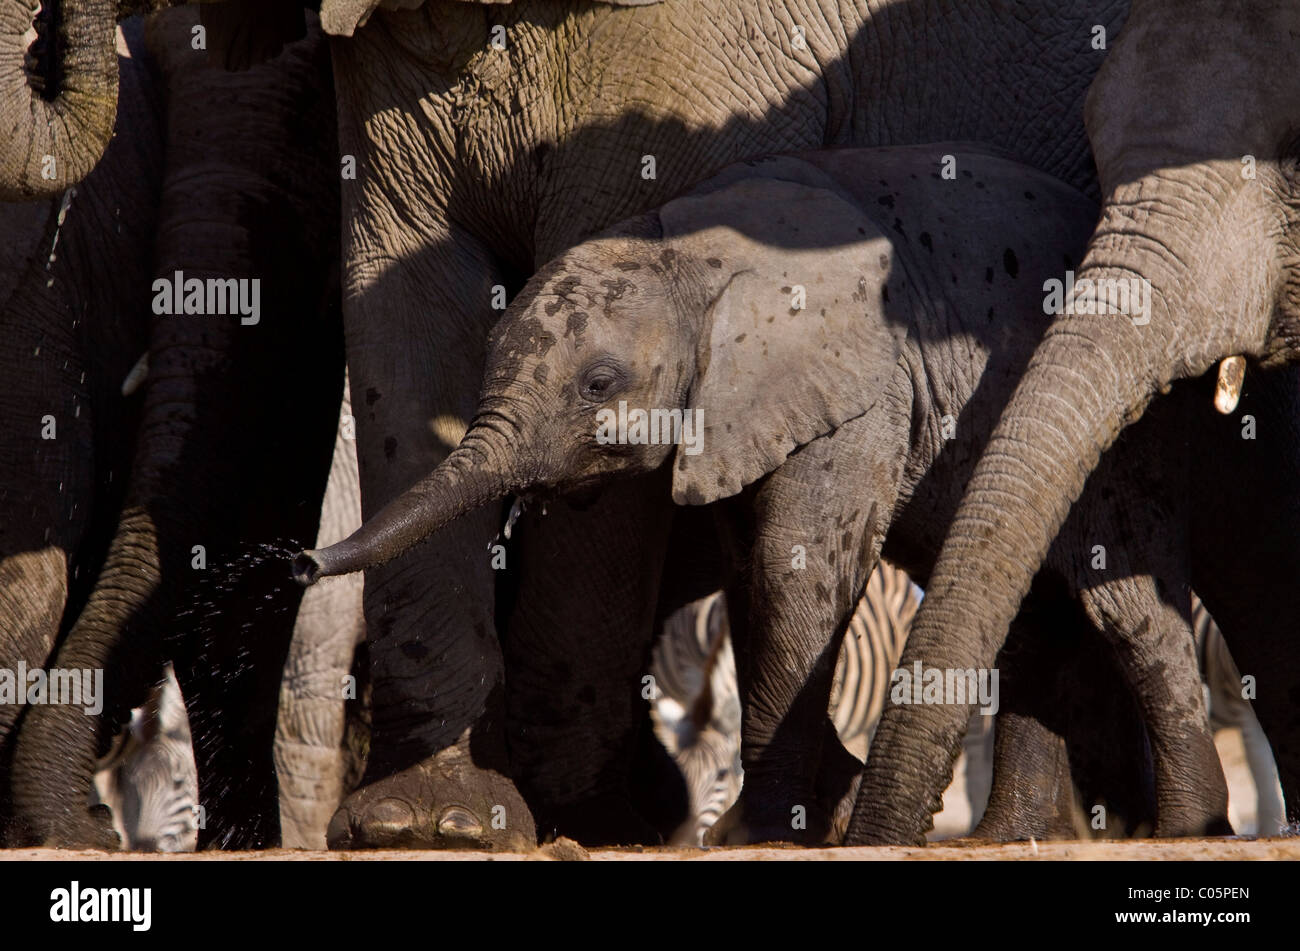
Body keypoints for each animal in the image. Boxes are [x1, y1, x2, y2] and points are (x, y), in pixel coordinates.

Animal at [296, 142, 1231, 843]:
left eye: (599, 384)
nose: (296, 562)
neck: (685, 258)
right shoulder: (737, 416)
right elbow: (751, 580)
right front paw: (800, 818)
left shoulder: (861, 385)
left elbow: (793, 569)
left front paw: (763, 833)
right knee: (1034, 614)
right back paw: (1010, 838)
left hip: (1131, 431)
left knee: (1121, 600)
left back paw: (1188, 829)